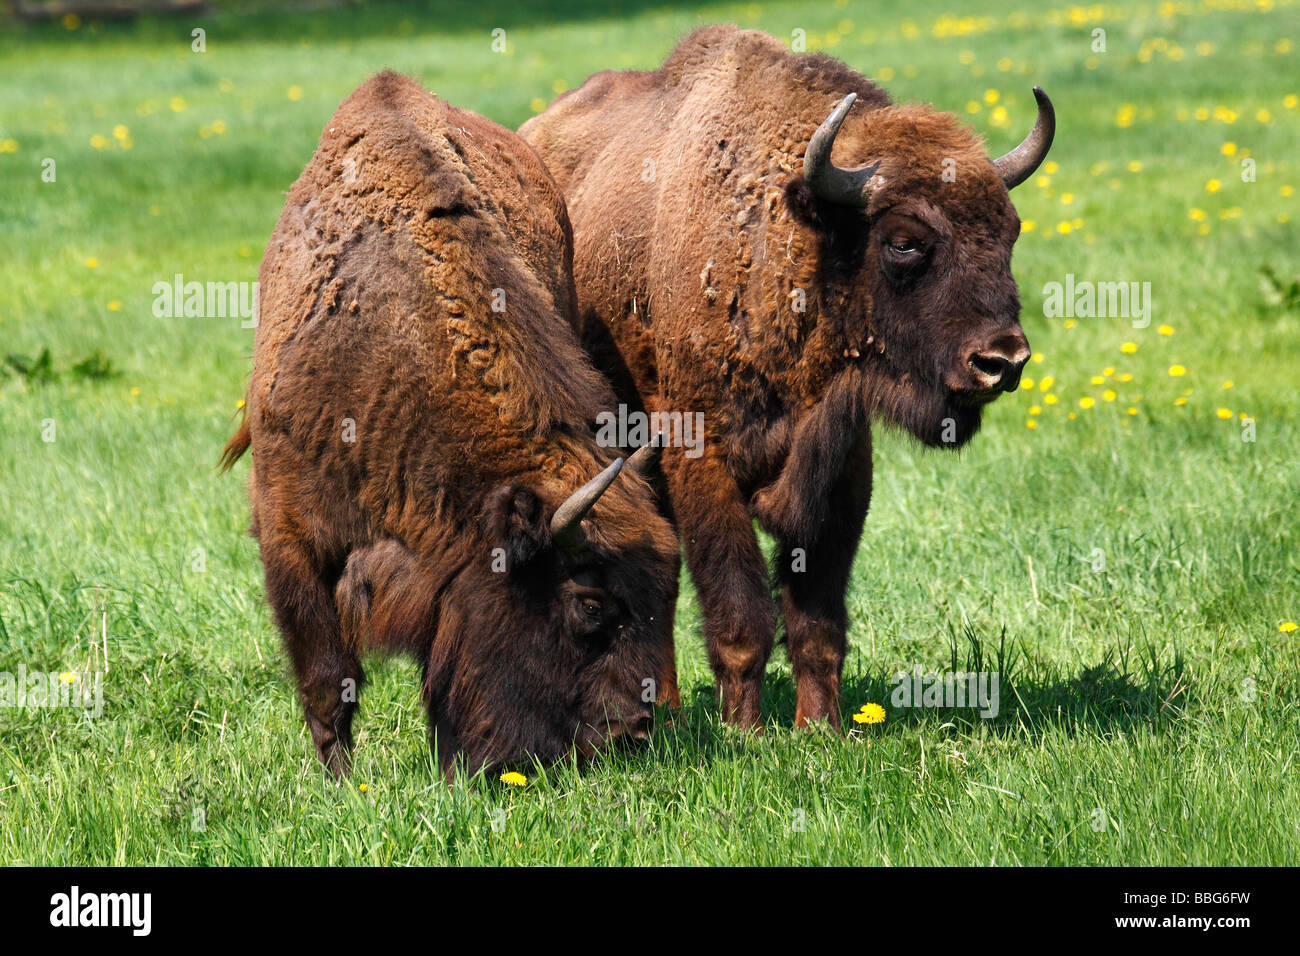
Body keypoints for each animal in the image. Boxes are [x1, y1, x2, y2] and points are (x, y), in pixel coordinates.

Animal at [523, 26, 1054, 729]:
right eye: (904, 241)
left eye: (1010, 231)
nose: (1003, 360)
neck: (799, 247)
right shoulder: (701, 460)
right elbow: (740, 612)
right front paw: (745, 733)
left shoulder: (843, 466)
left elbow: (817, 620)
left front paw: (821, 728)